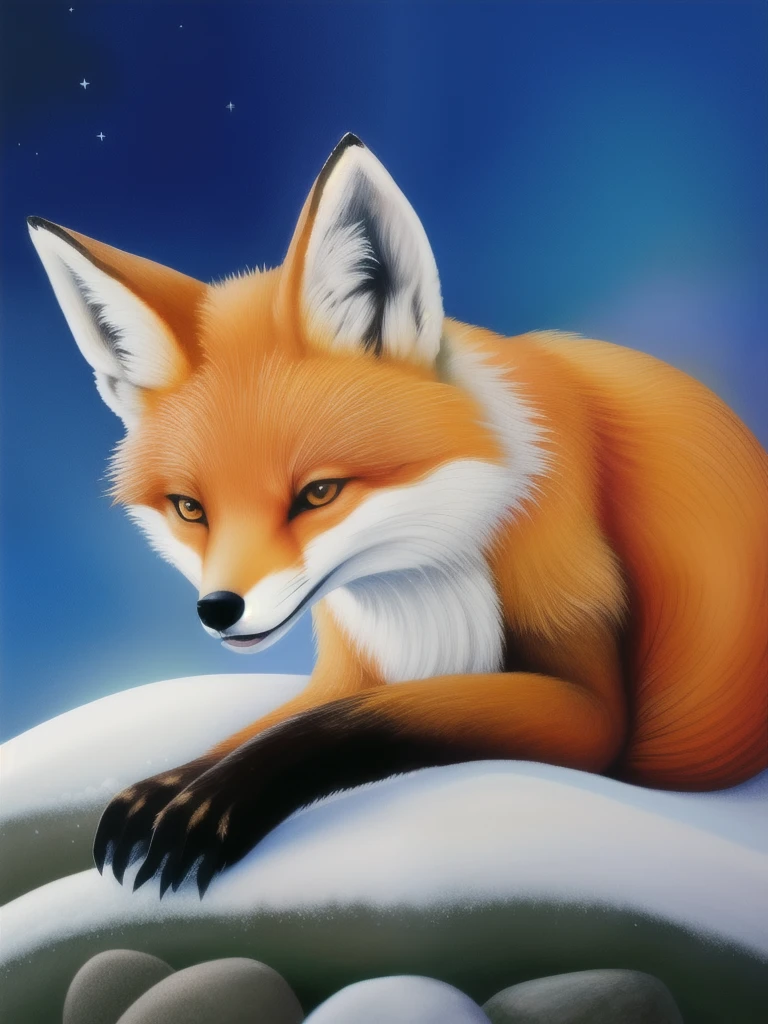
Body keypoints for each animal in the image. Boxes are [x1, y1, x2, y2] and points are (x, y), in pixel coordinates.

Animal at [29, 133, 768, 897]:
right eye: (189, 508)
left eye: (318, 494)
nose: (219, 609)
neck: (424, 591)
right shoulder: (352, 669)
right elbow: (260, 727)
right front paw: (168, 785)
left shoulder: (588, 703)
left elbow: (354, 723)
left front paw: (213, 802)